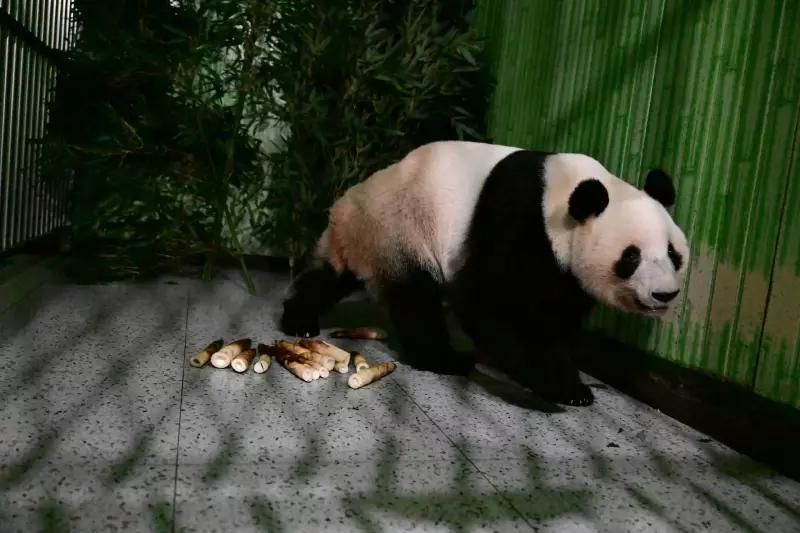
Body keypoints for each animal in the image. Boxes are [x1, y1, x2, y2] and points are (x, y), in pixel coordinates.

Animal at [279, 140, 690, 407]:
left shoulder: (564, 271)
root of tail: (346, 205)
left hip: (368, 239)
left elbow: (553, 322)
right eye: (631, 257)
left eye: (673, 253)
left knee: (330, 278)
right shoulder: (519, 217)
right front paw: (547, 382)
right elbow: (484, 300)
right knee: (416, 299)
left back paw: (299, 319)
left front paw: (571, 386)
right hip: (399, 228)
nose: (664, 294)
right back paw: (445, 359)